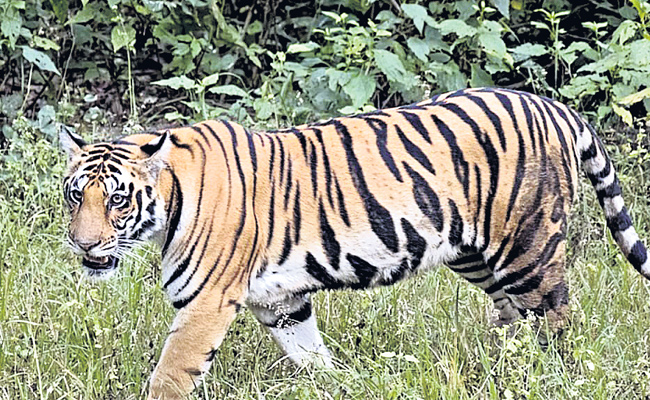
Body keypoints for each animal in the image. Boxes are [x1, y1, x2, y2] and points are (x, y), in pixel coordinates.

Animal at [59, 87, 650, 399]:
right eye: (74, 196)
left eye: (117, 200)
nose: (81, 246)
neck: (171, 200)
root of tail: (551, 104)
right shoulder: (281, 301)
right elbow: (309, 352)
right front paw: (338, 383)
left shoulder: (205, 303)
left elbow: (171, 373)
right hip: (476, 255)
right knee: (513, 319)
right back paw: (497, 369)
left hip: (527, 249)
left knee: (555, 321)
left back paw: (544, 379)